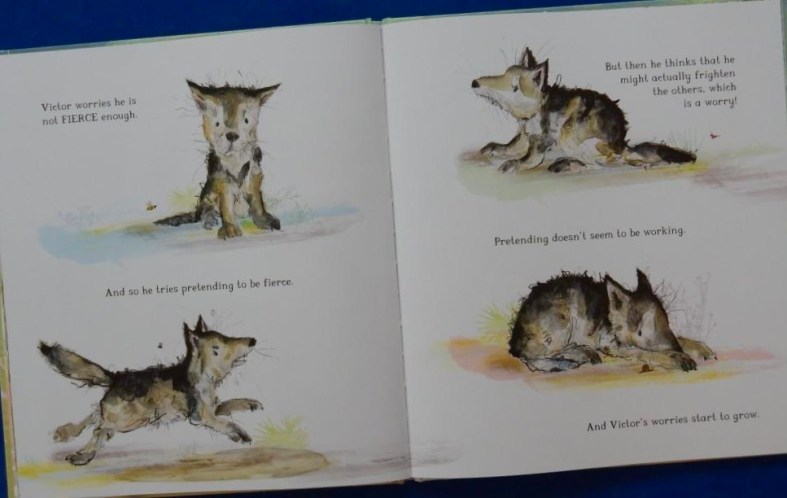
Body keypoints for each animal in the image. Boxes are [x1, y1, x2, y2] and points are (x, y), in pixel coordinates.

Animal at [39, 316, 261, 465]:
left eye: (227, 337)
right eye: (219, 346)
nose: (252, 341)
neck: (203, 377)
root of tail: (116, 376)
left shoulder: (215, 408)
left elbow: (233, 403)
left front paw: (252, 404)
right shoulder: (203, 417)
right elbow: (227, 423)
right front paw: (240, 433)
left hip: (126, 417)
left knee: (93, 417)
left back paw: (65, 433)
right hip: (130, 420)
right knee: (99, 430)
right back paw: (83, 455)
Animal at [156, 80, 281, 239]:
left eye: (246, 120)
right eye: (217, 123)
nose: (232, 135)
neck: (235, 161)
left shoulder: (254, 174)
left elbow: (257, 202)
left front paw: (263, 220)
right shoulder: (221, 180)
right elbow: (226, 206)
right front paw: (230, 228)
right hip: (208, 192)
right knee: (205, 208)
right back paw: (209, 218)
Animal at [472, 48, 696, 173]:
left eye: (514, 87)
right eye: (502, 74)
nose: (475, 83)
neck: (536, 109)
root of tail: (621, 144)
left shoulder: (544, 138)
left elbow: (528, 159)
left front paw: (513, 164)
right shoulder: (525, 135)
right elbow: (509, 146)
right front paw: (493, 149)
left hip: (568, 133)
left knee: (603, 163)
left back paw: (567, 164)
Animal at [508, 270, 715, 373]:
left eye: (667, 324)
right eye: (640, 331)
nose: (677, 349)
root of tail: (514, 342)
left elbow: (681, 338)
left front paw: (702, 349)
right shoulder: (612, 345)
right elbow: (644, 352)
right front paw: (677, 358)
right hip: (563, 318)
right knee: (532, 358)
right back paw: (577, 357)